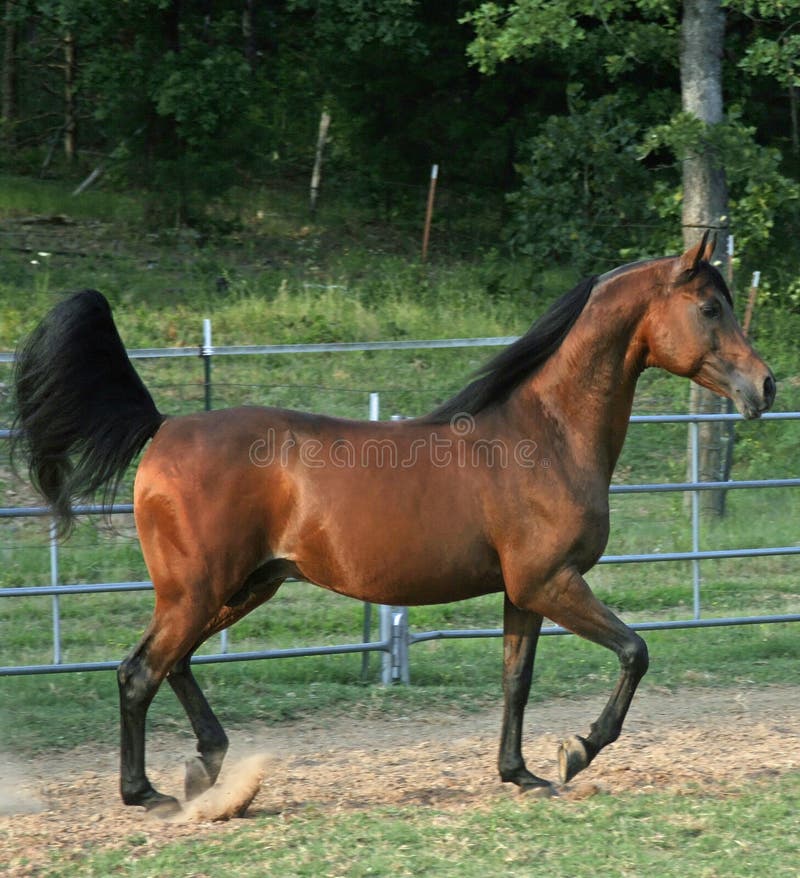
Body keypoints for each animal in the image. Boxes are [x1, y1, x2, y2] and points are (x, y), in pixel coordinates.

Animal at [11, 232, 775, 814]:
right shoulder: (553, 583)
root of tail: (164, 427)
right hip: (201, 590)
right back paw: (148, 793)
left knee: (173, 662)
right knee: (140, 670)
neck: (546, 434)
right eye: (711, 307)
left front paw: (521, 773)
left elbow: (516, 679)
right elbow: (635, 651)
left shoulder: (525, 593)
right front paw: (577, 751)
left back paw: (209, 765)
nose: (765, 387)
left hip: (240, 587)